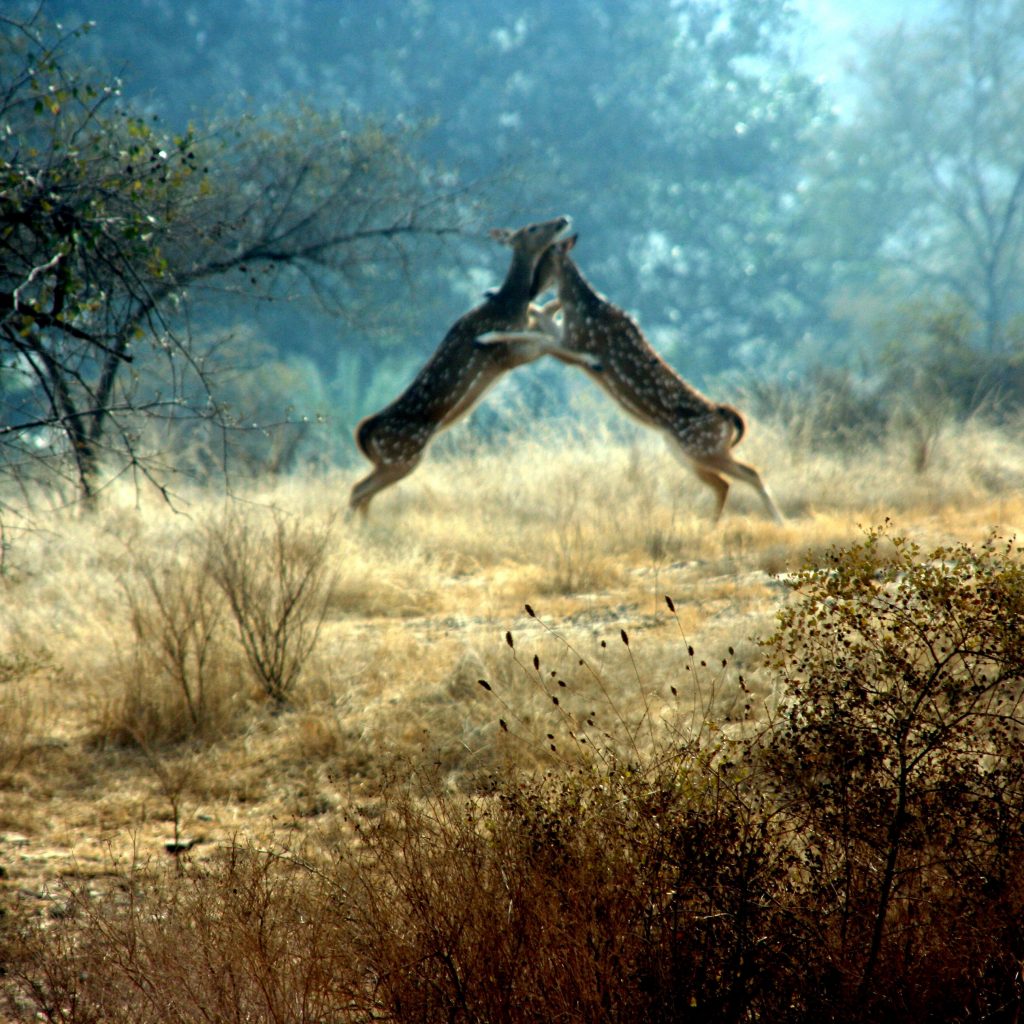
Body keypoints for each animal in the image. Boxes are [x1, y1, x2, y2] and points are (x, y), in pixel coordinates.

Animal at [349, 215, 600, 516]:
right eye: (532, 228)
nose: (563, 219)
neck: (510, 306)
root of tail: (365, 434)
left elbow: (547, 316)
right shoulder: (507, 355)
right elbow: (546, 343)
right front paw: (592, 360)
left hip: (393, 460)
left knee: (363, 494)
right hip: (403, 456)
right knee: (358, 490)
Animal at [477, 236, 784, 524]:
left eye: (543, 257)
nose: (529, 289)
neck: (582, 308)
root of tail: (726, 415)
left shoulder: (576, 343)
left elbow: (538, 337)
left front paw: (486, 336)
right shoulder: (566, 336)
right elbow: (541, 324)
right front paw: (496, 299)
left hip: (701, 448)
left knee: (745, 474)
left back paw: (766, 522)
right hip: (685, 452)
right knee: (728, 482)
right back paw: (731, 523)